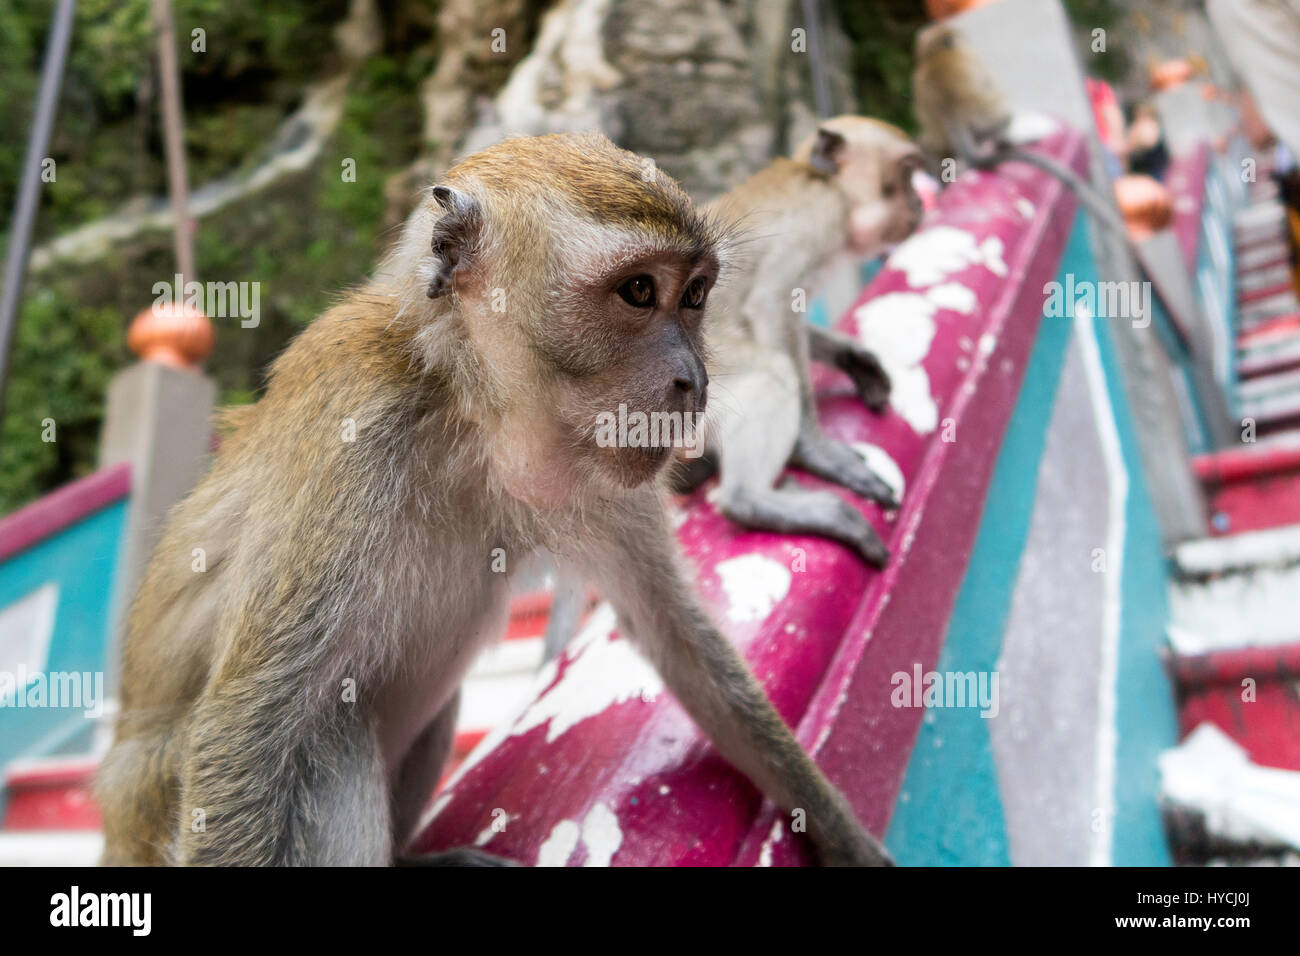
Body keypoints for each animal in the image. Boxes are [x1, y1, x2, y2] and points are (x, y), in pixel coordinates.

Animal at [94, 132, 891, 867]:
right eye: (639, 291)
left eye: (695, 295)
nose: (693, 378)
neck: (470, 410)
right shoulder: (357, 429)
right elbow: (251, 726)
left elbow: (677, 638)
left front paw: (842, 834)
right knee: (325, 736)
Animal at [692, 116, 925, 568]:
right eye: (907, 173)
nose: (920, 202)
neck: (822, 181)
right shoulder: (819, 218)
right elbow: (772, 303)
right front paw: (817, 449)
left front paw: (856, 359)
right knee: (772, 372)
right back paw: (751, 500)